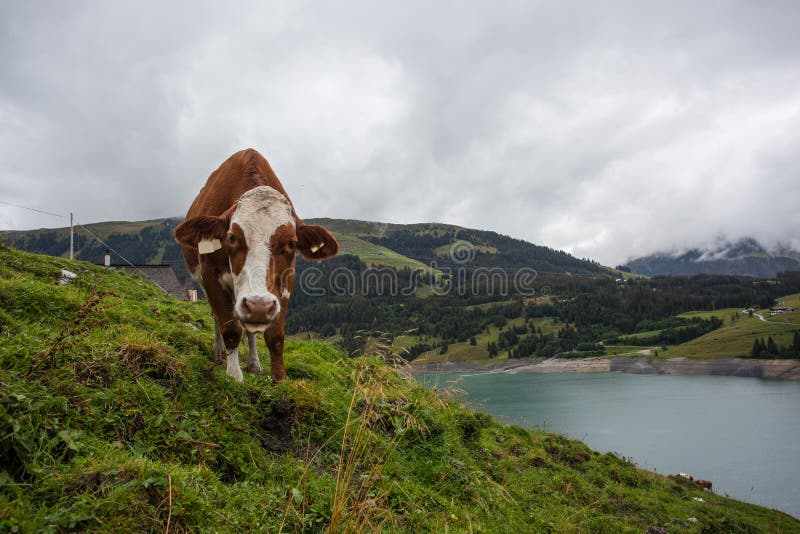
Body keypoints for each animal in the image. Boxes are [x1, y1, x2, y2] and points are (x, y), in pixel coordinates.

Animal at [174, 149, 338, 382]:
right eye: (231, 238)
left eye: (292, 243)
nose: (258, 305)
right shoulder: (210, 275)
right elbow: (230, 328)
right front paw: (234, 376)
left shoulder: (287, 279)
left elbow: (275, 334)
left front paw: (279, 378)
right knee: (217, 317)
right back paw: (219, 353)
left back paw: (253, 363)